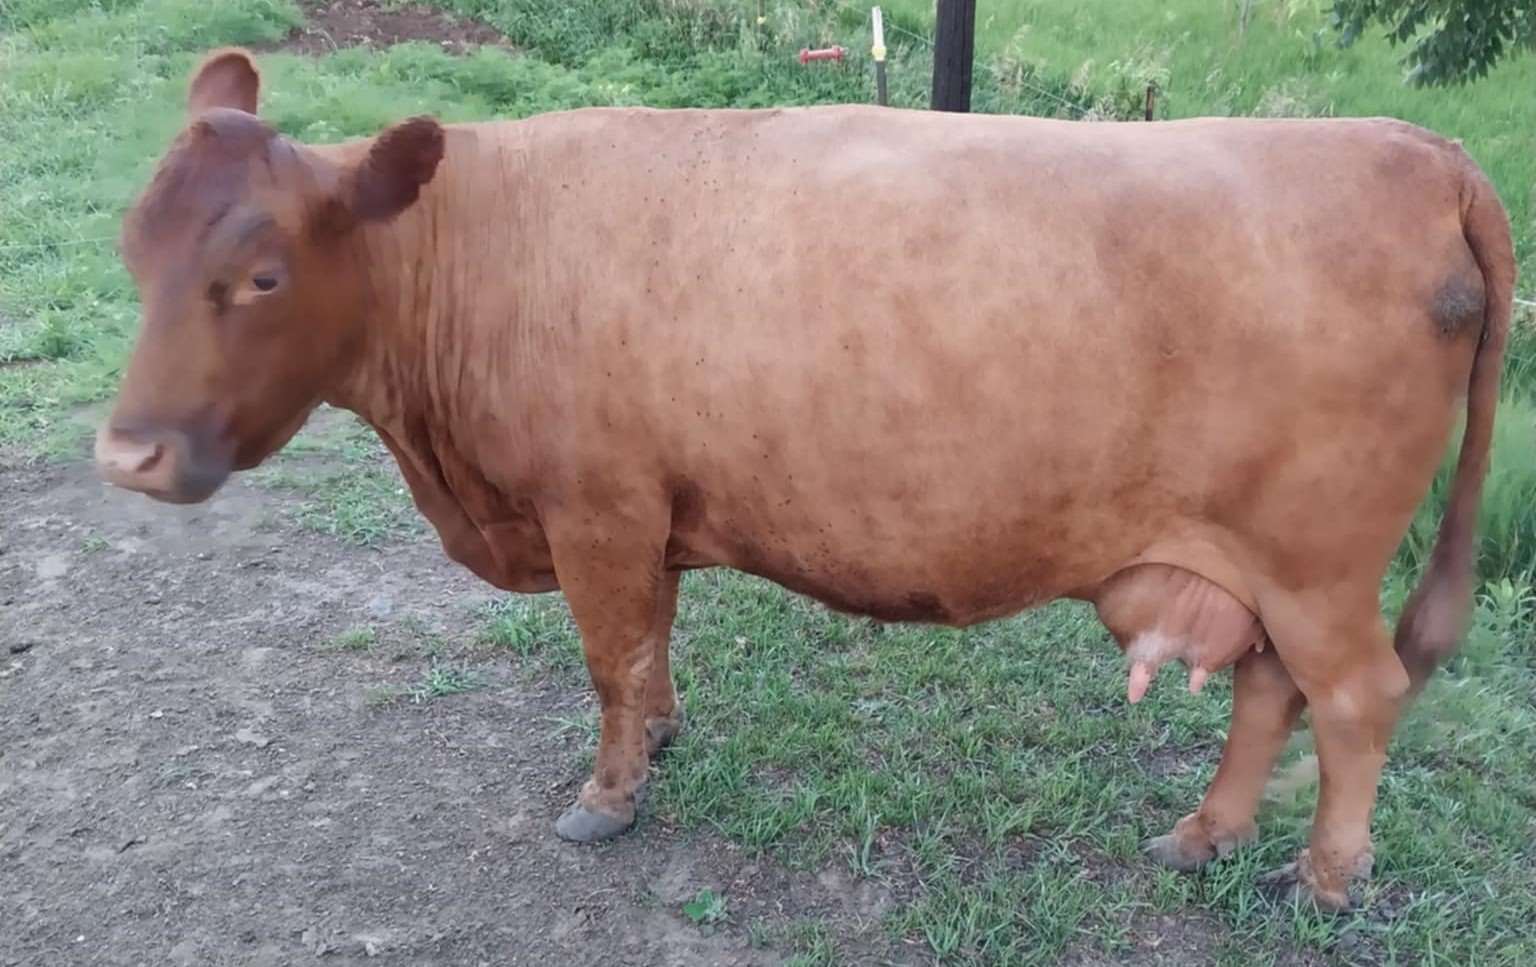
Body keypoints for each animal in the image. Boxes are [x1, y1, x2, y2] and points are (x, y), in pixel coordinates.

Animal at [94, 48, 1514, 912]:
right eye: (132, 243)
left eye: (262, 274)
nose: (126, 453)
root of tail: (1415, 146)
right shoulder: (645, 513)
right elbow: (651, 643)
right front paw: (661, 737)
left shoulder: (594, 508)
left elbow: (607, 656)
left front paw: (608, 798)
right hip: (1267, 568)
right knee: (1272, 689)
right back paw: (1206, 833)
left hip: (1317, 560)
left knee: (1355, 699)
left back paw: (1324, 877)